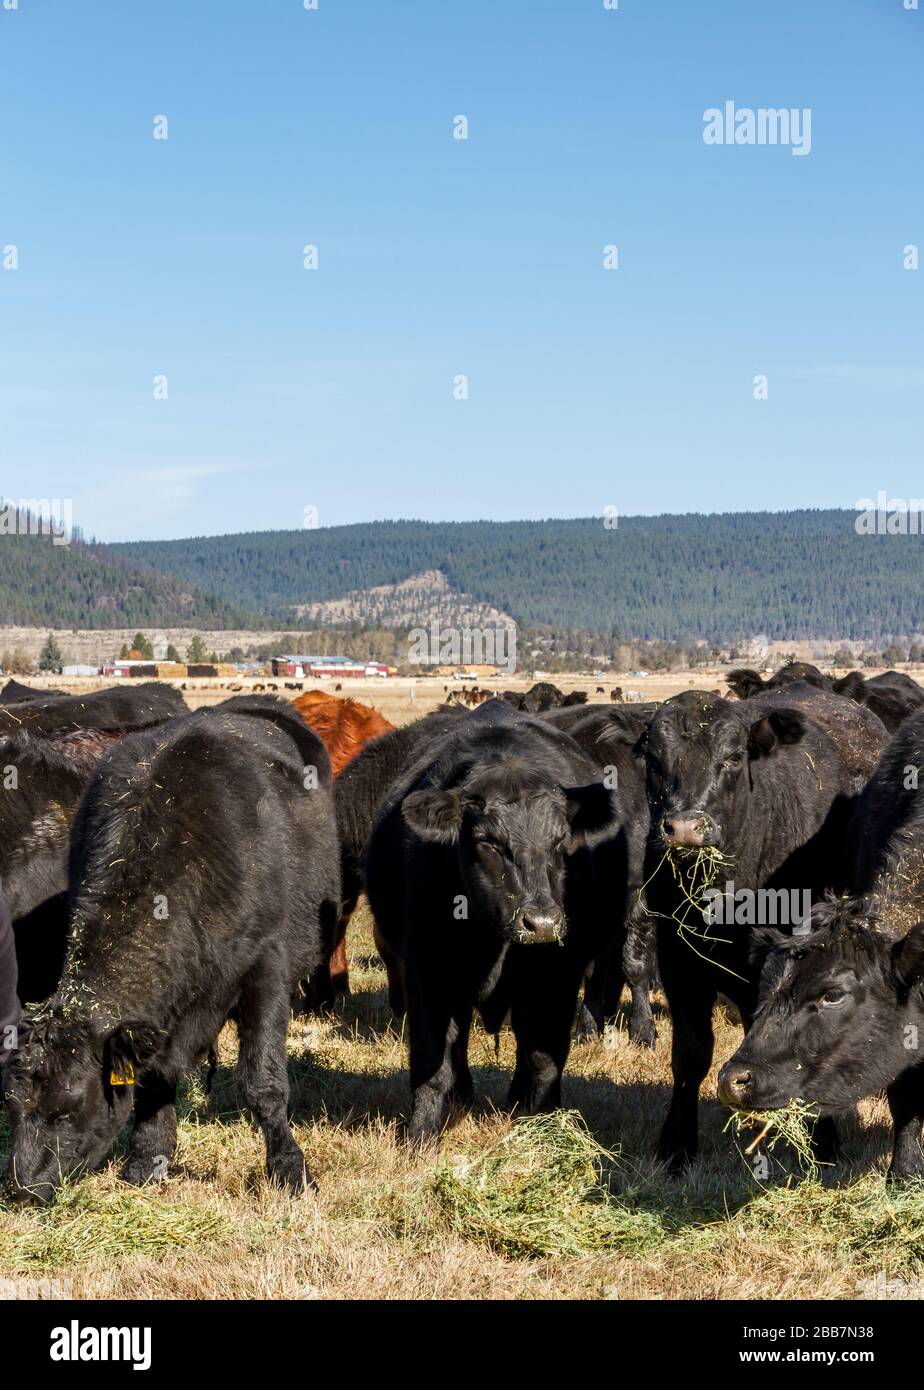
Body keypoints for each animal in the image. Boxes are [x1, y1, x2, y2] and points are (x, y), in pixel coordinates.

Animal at [5, 696, 340, 1203]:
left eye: (68, 1108)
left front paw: (289, 1170)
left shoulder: (266, 971)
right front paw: (148, 1162)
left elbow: (263, 1084)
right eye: (12, 1105)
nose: (20, 1189)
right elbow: (152, 1081)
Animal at [364, 699, 620, 1142]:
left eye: (560, 839)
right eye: (488, 841)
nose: (542, 922)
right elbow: (432, 1063)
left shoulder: (559, 976)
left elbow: (544, 1056)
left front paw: (544, 1127)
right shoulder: (428, 971)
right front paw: (420, 1137)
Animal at [639, 688, 862, 1172]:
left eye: (732, 758)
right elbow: (691, 1054)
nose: (685, 828)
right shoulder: (677, 962)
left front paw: (824, 1142)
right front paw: (676, 1146)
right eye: (653, 759)